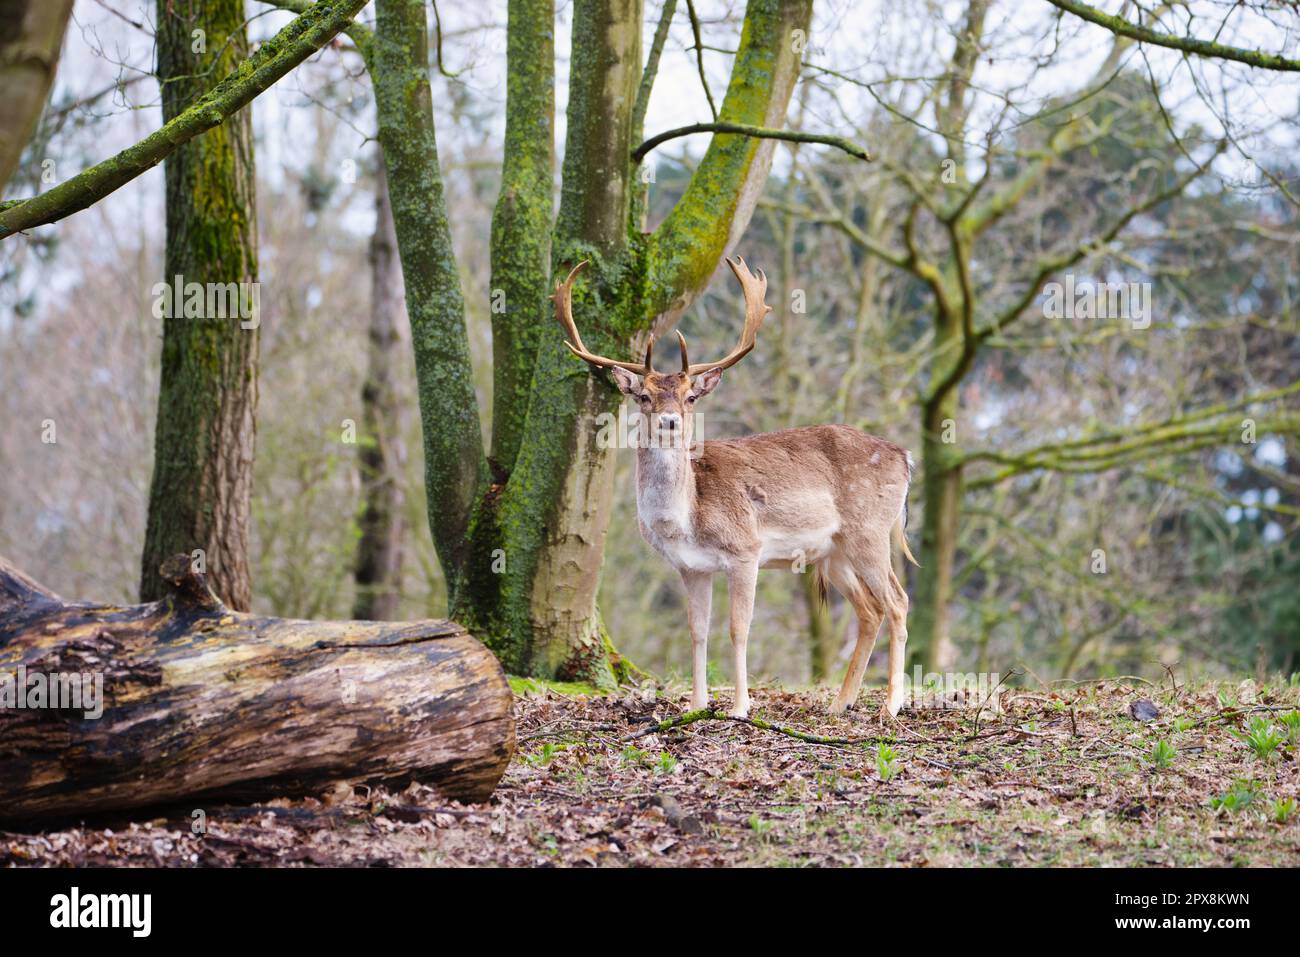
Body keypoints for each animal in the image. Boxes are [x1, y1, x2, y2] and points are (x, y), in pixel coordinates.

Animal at [556, 257, 917, 721]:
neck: (688, 517)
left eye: (690, 397)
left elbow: (738, 628)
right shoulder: (691, 567)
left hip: (870, 531)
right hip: (833, 552)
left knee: (897, 601)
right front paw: (696, 704)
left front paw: (741, 706)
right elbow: (697, 630)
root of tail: (905, 457)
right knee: (870, 610)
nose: (670, 421)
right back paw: (840, 703)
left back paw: (891, 705)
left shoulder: (746, 551)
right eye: (644, 397)